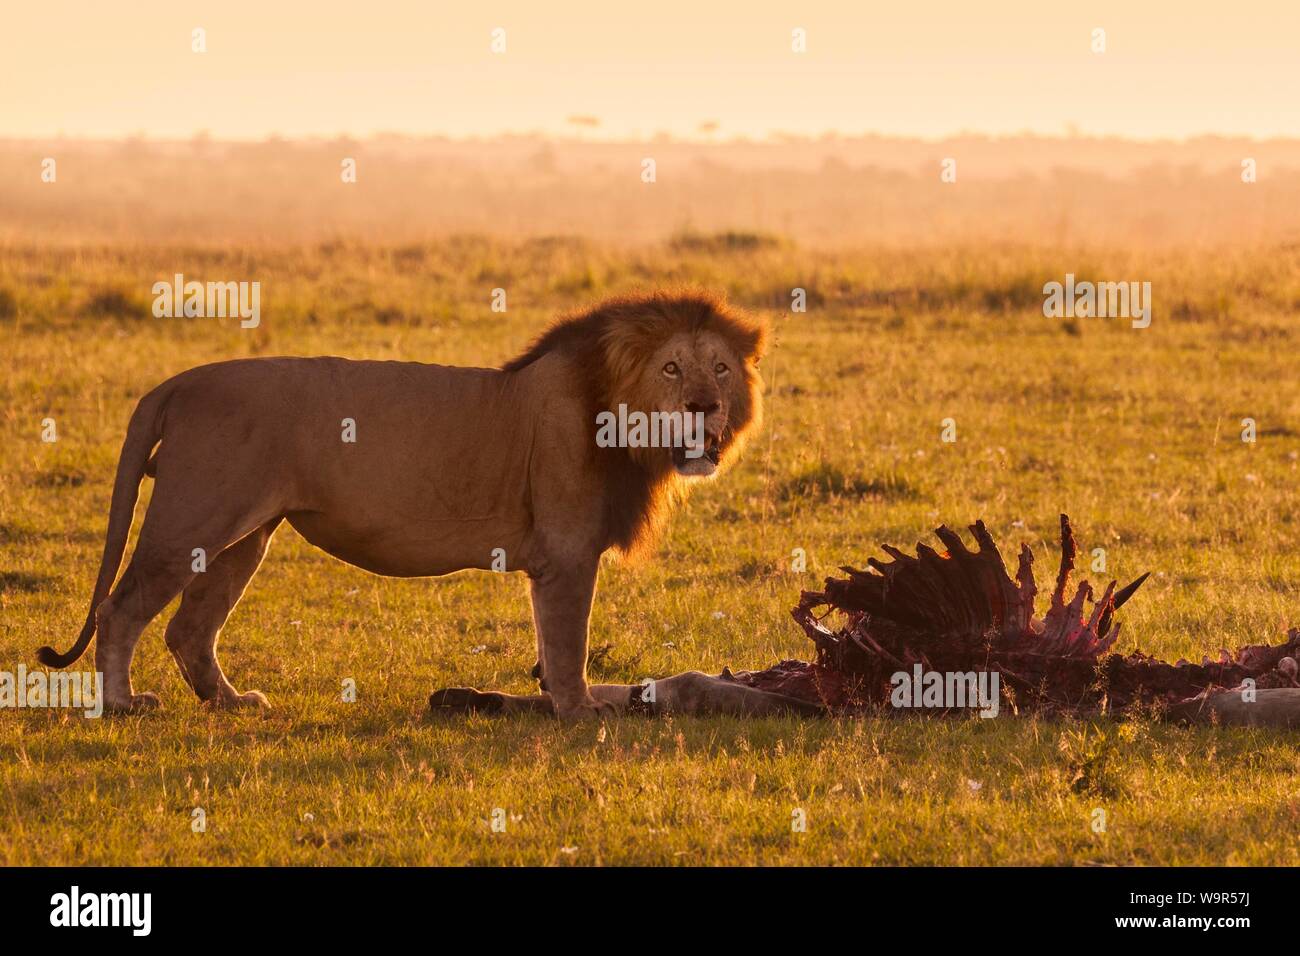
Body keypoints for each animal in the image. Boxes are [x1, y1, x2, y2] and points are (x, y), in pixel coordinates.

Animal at [37, 291, 768, 720]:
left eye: (721, 368)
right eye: (672, 368)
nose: (705, 405)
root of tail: (178, 382)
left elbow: (554, 643)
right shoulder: (566, 554)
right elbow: (568, 645)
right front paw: (580, 712)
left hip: (245, 536)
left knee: (189, 629)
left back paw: (233, 701)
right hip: (193, 519)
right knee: (120, 609)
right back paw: (123, 704)